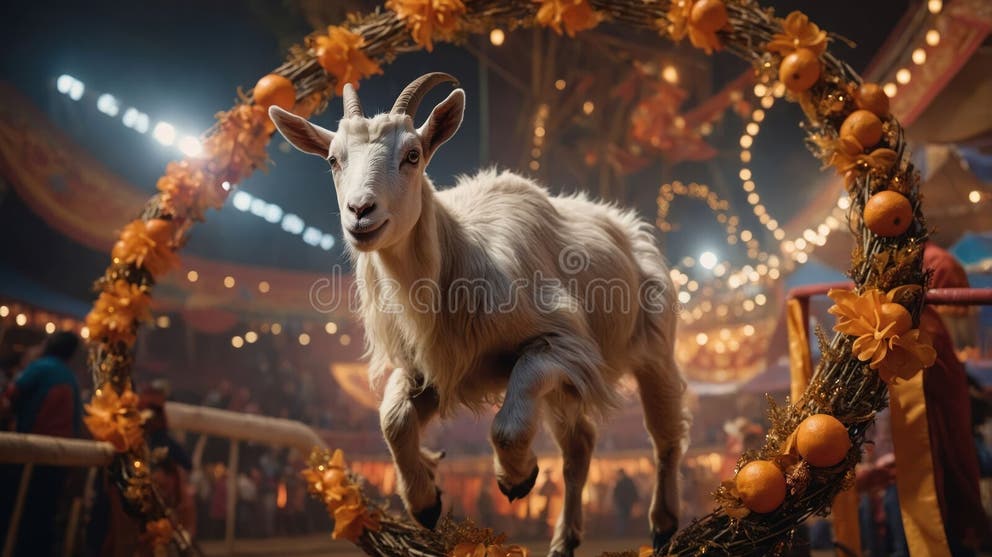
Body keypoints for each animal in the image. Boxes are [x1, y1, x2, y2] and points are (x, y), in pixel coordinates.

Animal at [270, 73, 689, 556]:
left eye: (412, 155)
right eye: (333, 160)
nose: (360, 212)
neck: (460, 255)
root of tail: (625, 225)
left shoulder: (561, 344)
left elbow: (505, 426)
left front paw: (517, 479)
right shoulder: (431, 367)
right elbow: (393, 422)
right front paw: (426, 501)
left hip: (652, 348)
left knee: (664, 437)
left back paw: (663, 525)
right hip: (563, 388)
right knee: (579, 446)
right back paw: (564, 539)